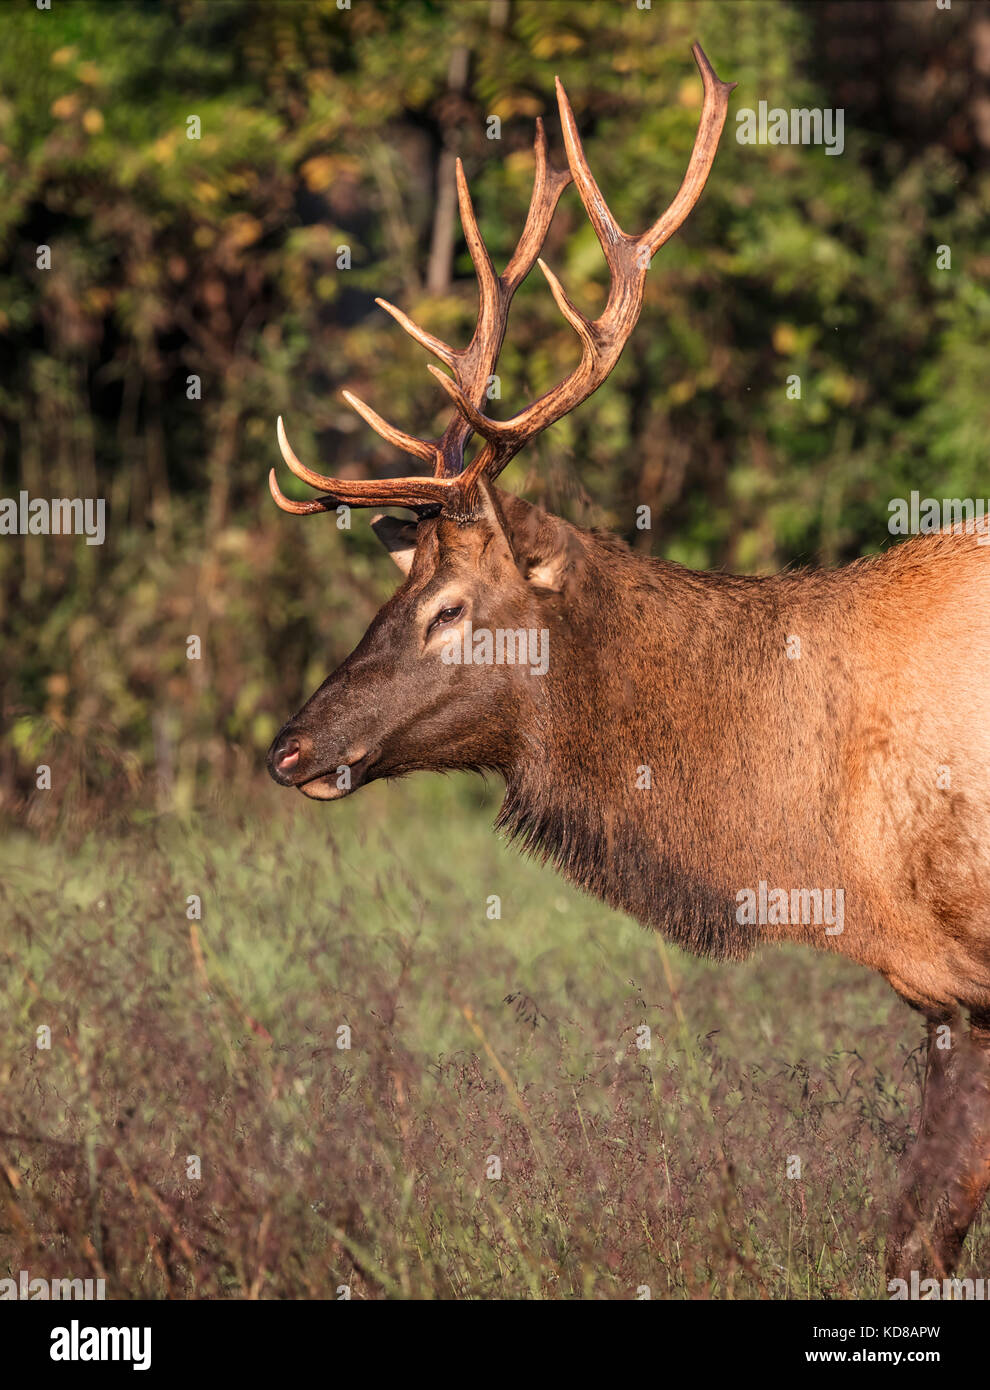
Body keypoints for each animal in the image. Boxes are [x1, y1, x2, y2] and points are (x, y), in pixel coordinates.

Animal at [265, 45, 990, 1286]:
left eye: (451, 608)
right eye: (394, 593)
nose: (290, 746)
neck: (836, 861)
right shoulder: (947, 995)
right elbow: (918, 1233)